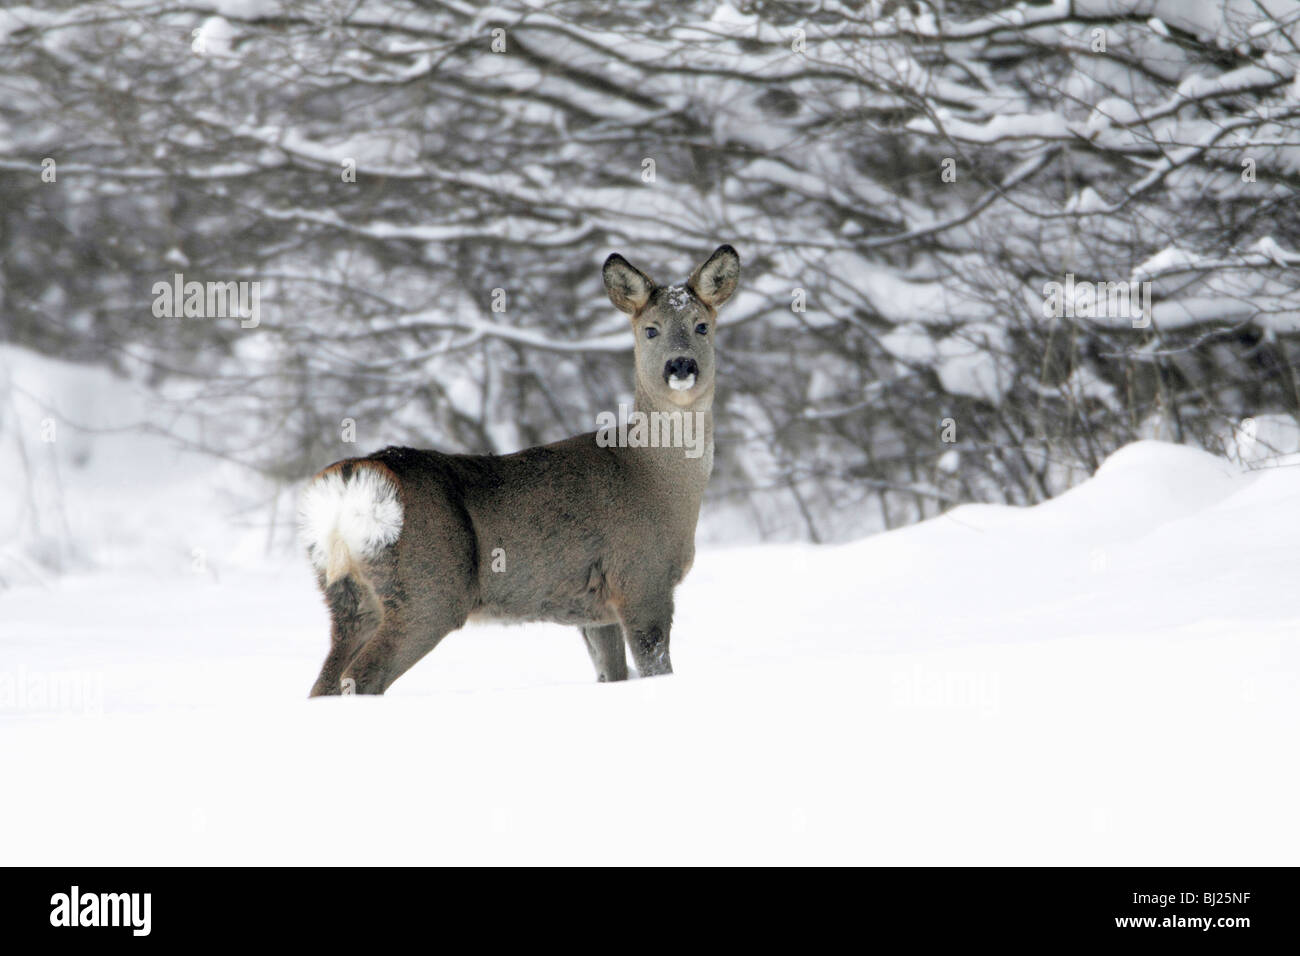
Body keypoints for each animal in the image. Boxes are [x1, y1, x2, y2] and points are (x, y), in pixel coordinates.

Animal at [299, 244, 740, 695]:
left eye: (702, 325)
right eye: (650, 330)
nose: (681, 365)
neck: (657, 480)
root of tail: (350, 483)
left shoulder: (595, 610)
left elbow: (611, 675)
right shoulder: (641, 579)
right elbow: (656, 669)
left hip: (349, 598)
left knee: (324, 683)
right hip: (427, 594)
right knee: (361, 677)